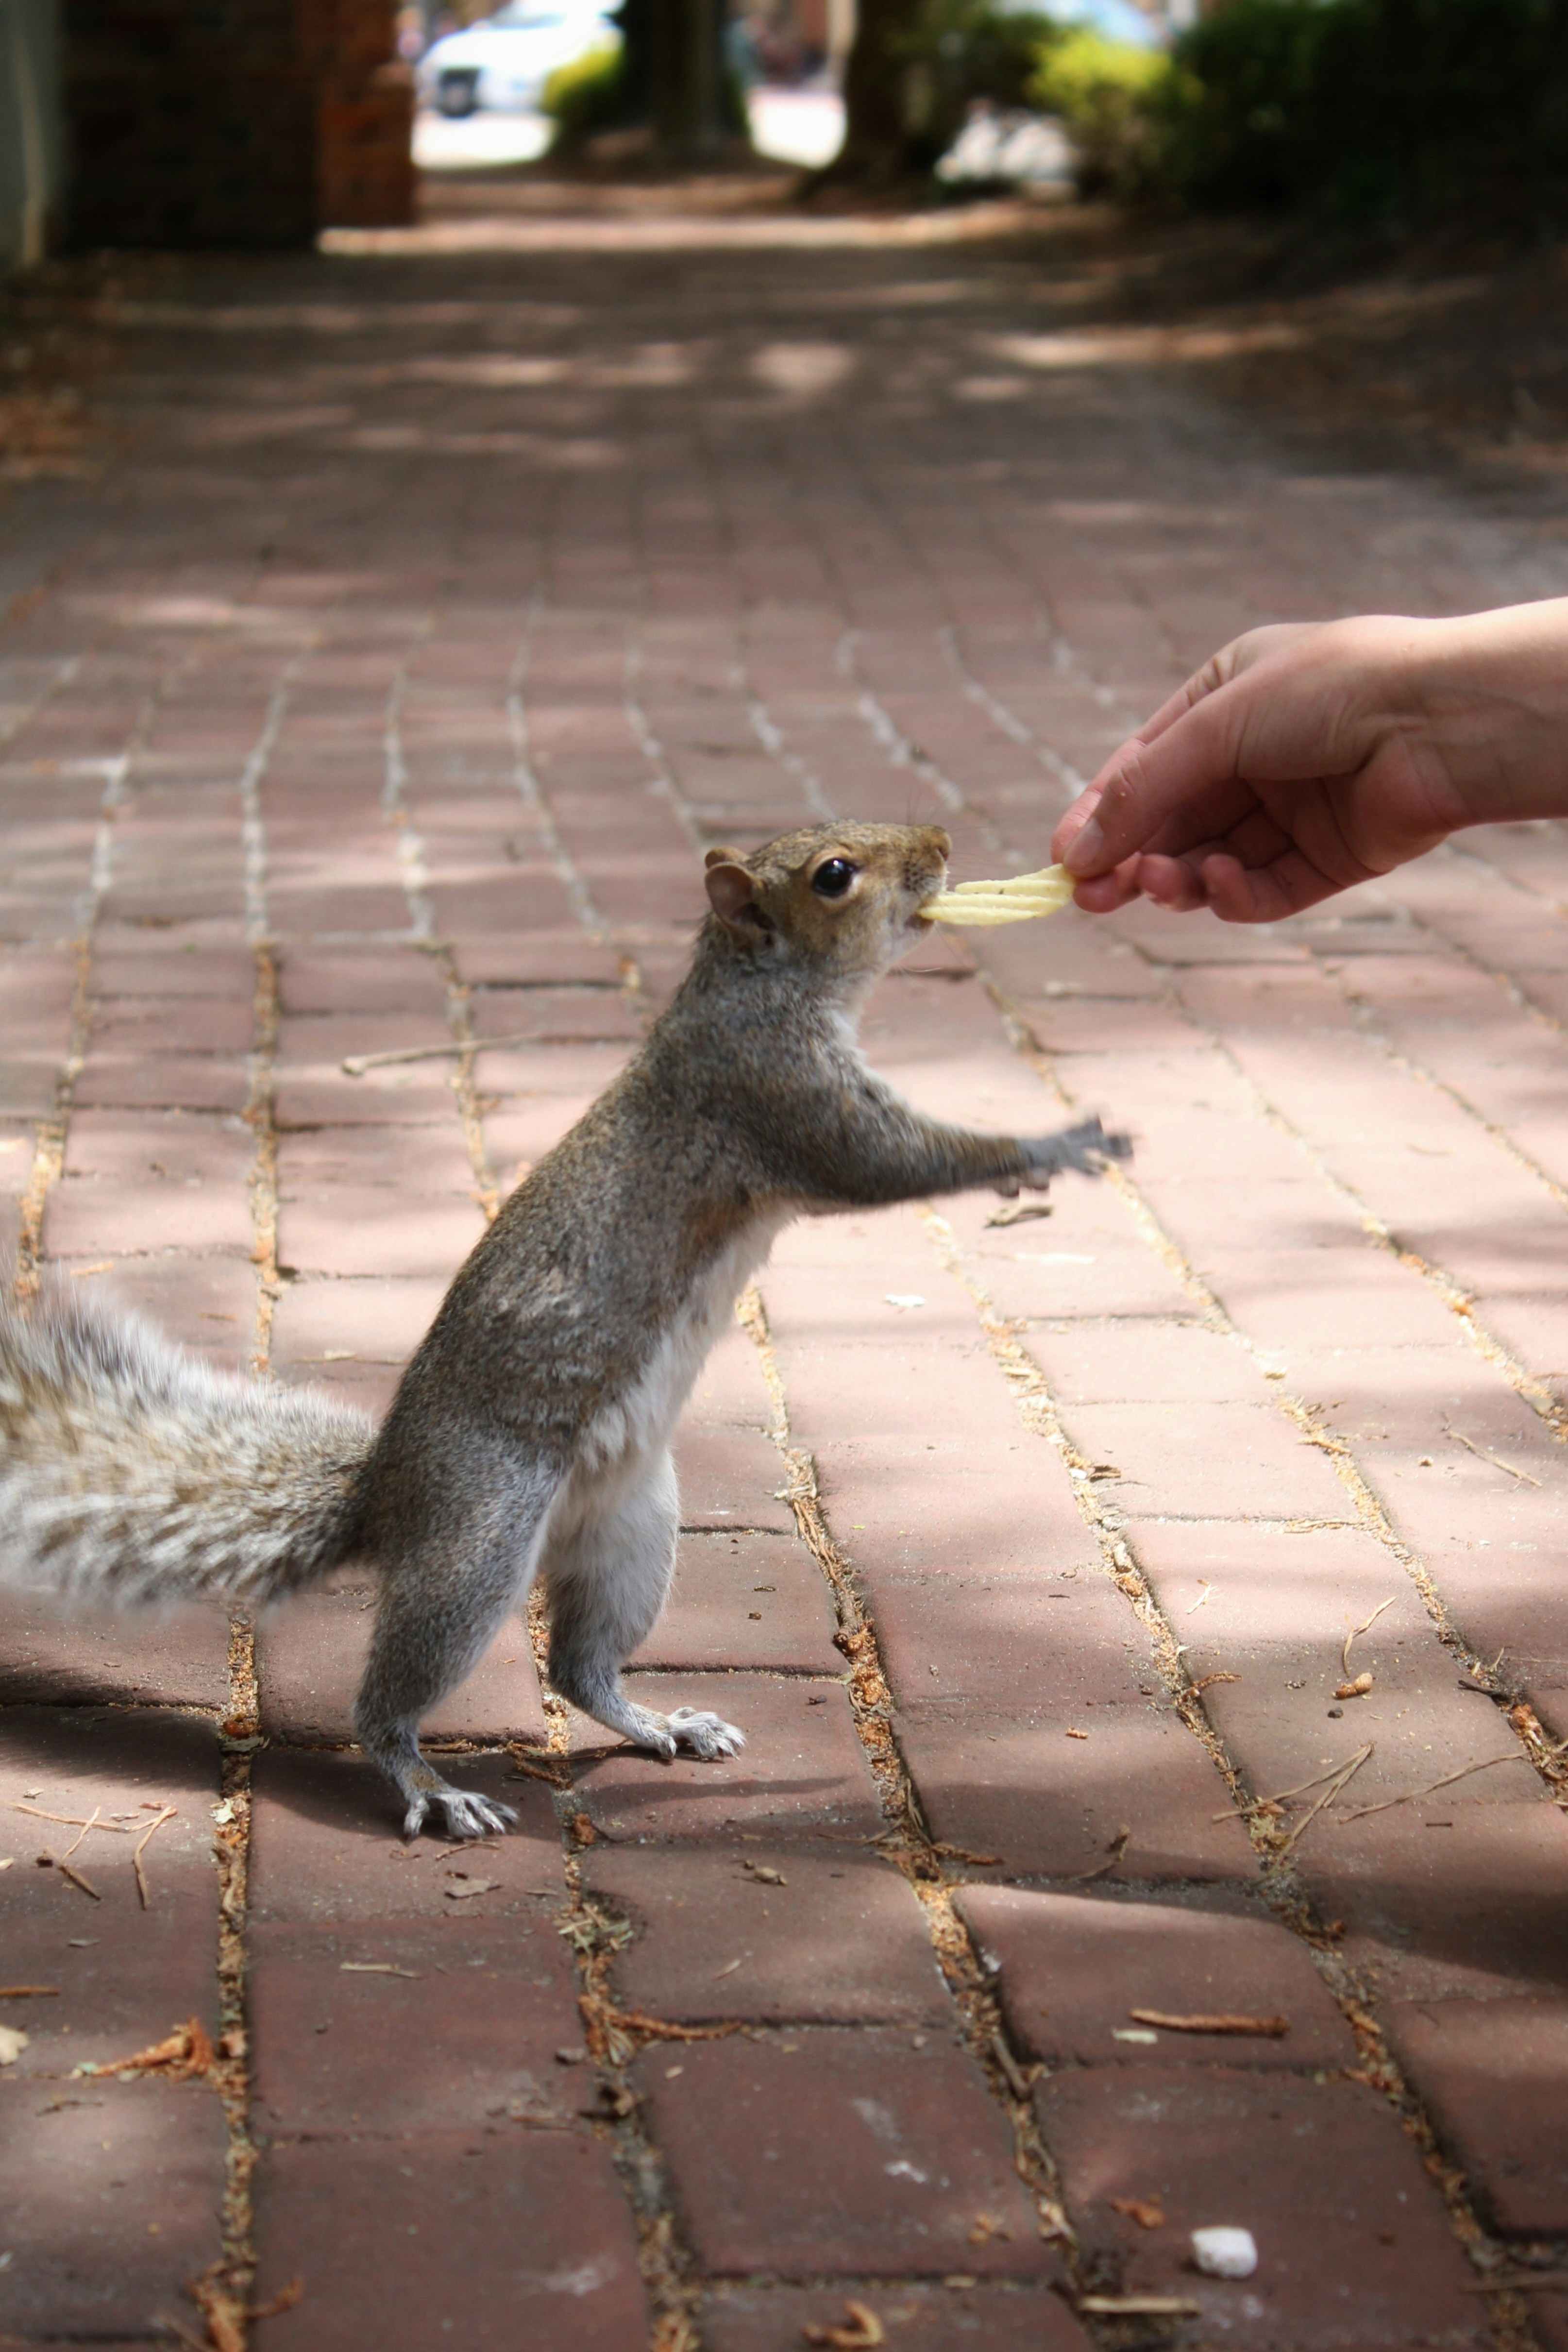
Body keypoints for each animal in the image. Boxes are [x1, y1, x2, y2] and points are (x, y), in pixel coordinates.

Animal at [0, 822, 1130, 1839]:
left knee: (580, 1669)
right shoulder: (775, 1093)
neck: (752, 988)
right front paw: (1050, 1144)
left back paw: (660, 1724)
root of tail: (385, 1495)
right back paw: (426, 1783)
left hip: (636, 1530)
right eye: (834, 873)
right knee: (391, 1698)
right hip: (479, 1538)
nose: (939, 844)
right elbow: (888, 1160)